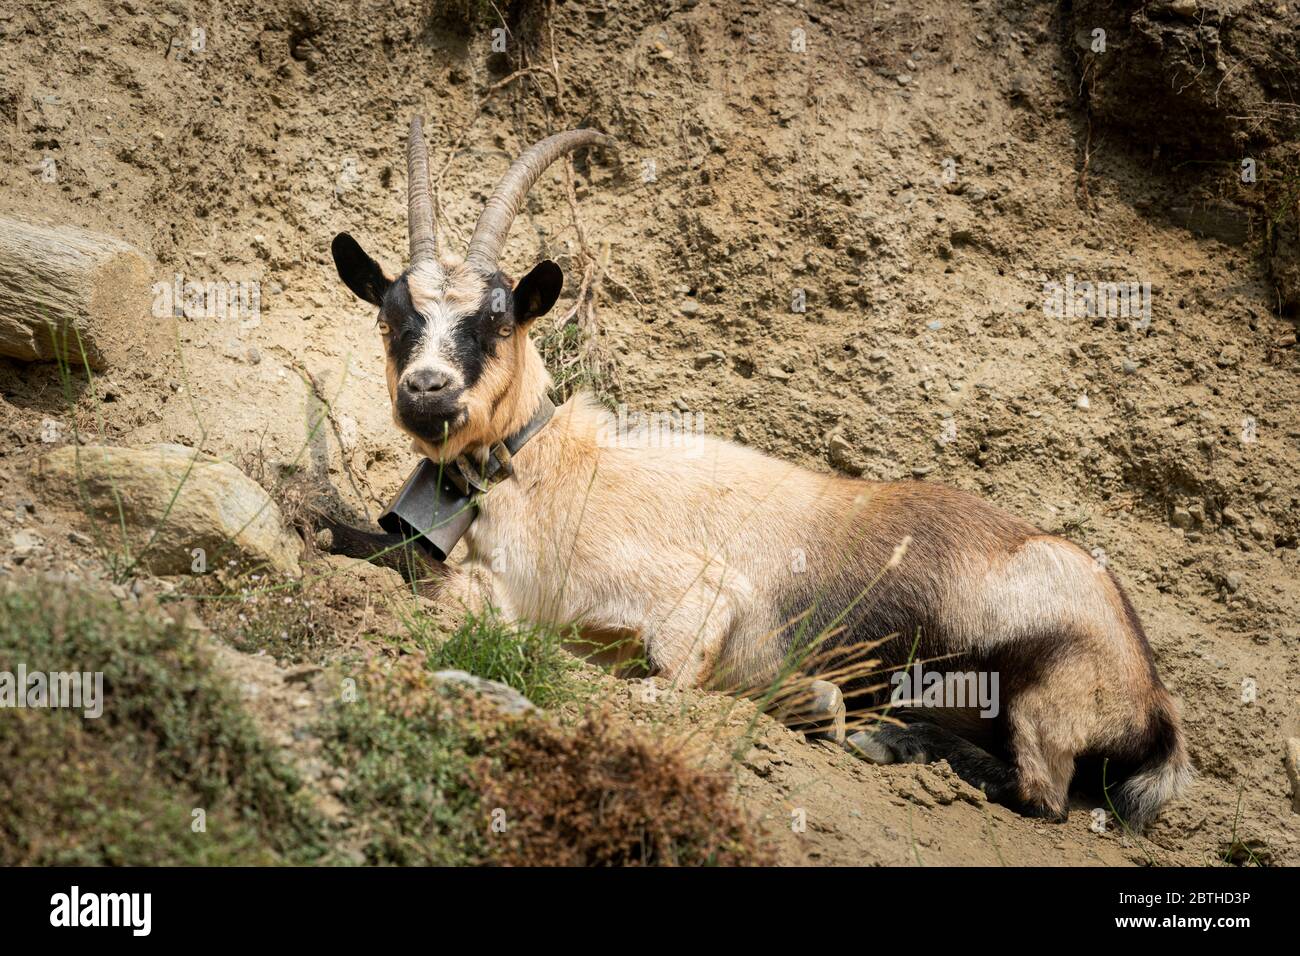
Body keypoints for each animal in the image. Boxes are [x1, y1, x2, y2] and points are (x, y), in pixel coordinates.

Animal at [327, 117, 1192, 829]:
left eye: (498, 318)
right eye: (391, 318)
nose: (427, 389)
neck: (549, 464)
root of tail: (1153, 702)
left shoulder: (698, 599)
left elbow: (652, 676)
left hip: (1042, 692)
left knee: (1042, 794)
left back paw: (878, 735)